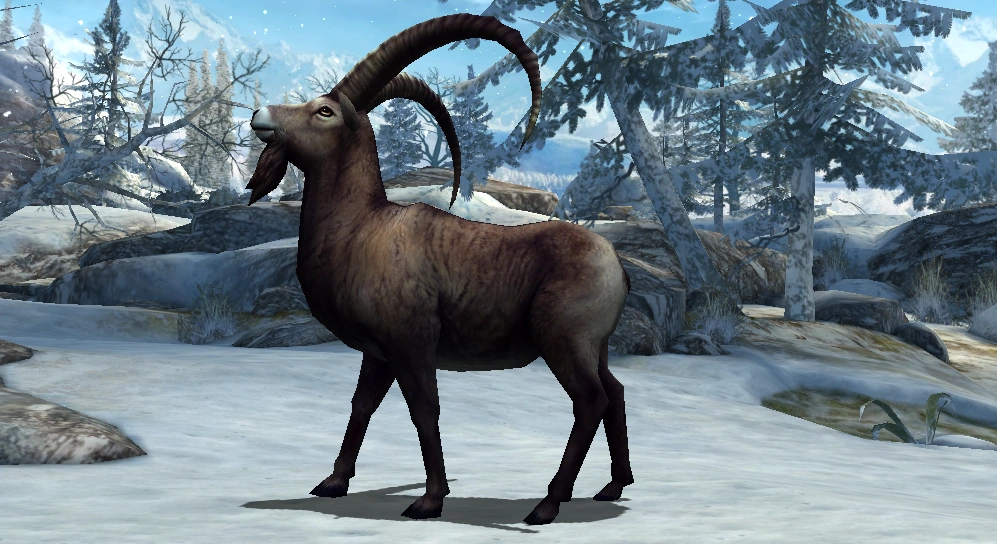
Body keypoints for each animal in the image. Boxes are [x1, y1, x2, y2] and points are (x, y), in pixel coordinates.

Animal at [245, 14, 634, 525]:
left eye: (324, 111)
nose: (260, 116)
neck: (362, 228)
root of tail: (616, 266)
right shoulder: (380, 353)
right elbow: (362, 406)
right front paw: (332, 483)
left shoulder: (411, 344)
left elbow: (424, 411)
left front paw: (428, 501)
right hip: (595, 347)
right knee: (616, 393)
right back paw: (613, 487)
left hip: (564, 341)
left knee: (590, 402)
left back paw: (546, 505)